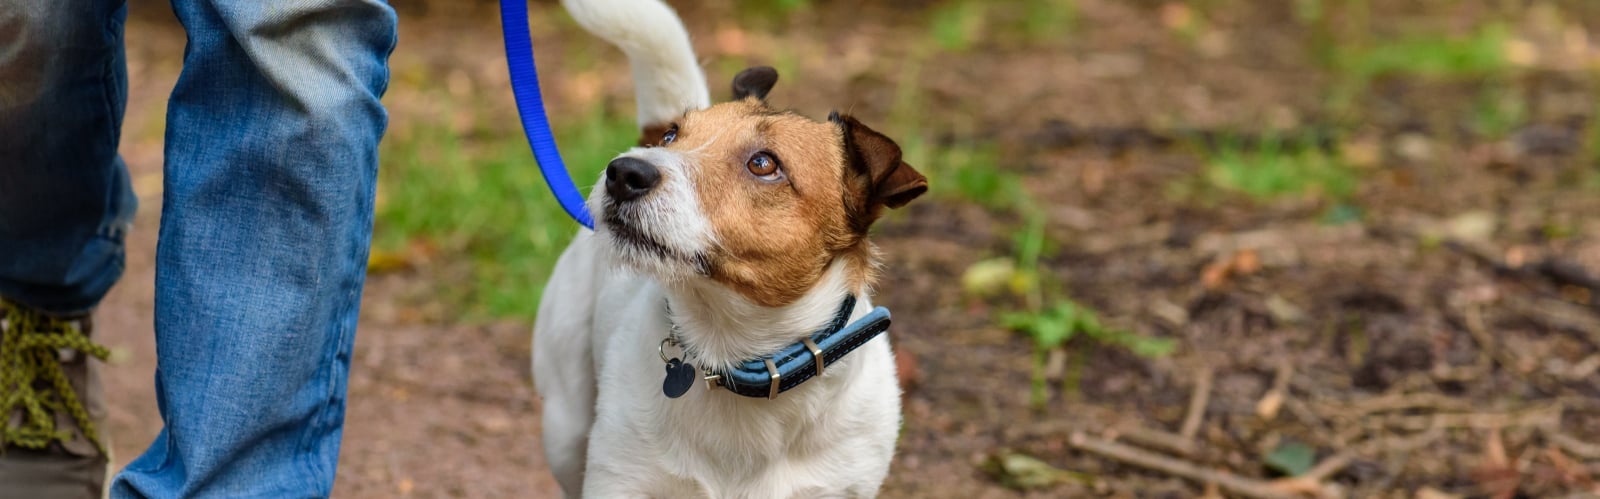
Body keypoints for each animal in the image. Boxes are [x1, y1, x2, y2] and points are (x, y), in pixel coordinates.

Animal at [531, 1, 934, 495]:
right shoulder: (620, 479)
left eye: (763, 163)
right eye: (672, 136)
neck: (735, 351)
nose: (623, 172)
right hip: (565, 424)